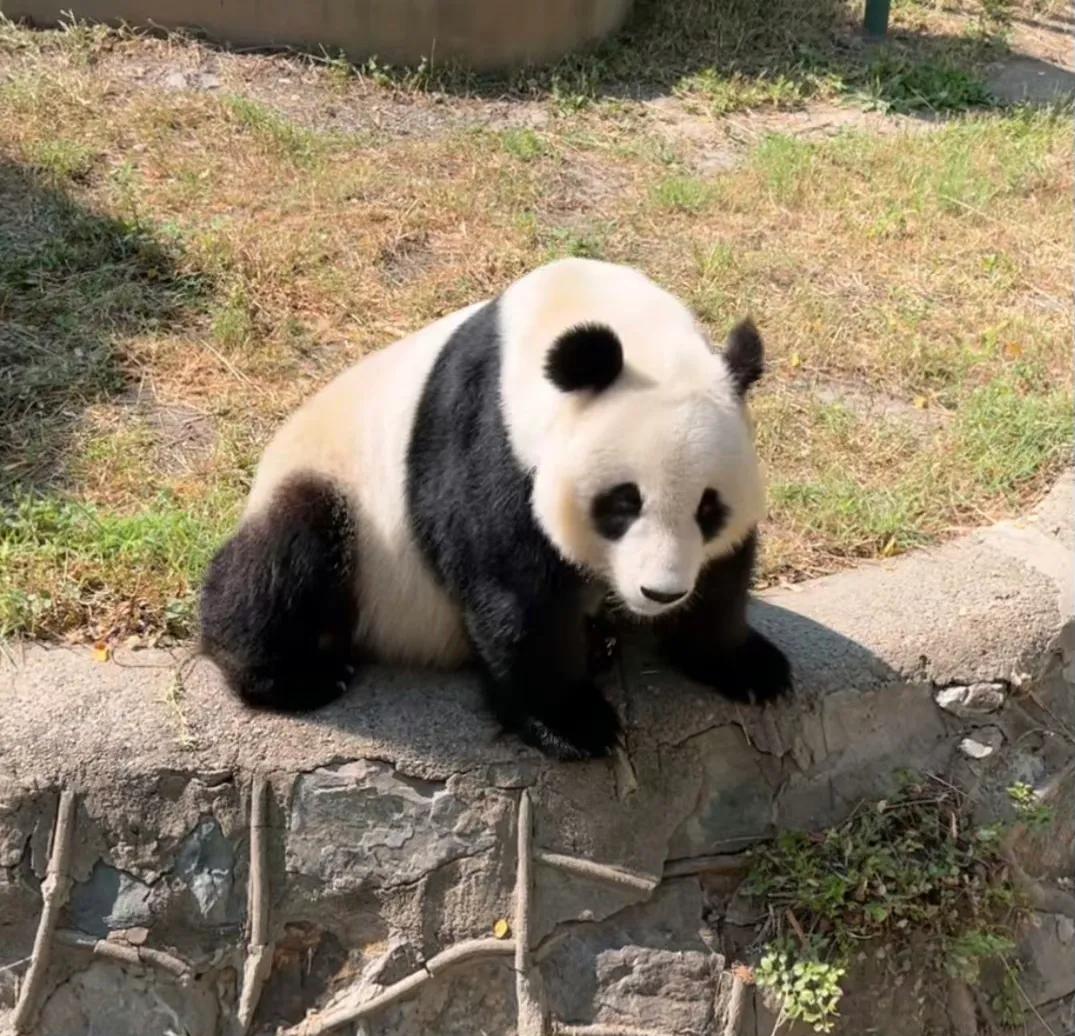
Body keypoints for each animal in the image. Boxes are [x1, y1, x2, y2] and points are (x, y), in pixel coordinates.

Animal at [199, 258, 791, 760]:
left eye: (708, 508)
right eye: (624, 501)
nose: (660, 593)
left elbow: (722, 574)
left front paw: (749, 667)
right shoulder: (491, 440)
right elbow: (515, 592)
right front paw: (574, 724)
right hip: (344, 505)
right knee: (285, 559)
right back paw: (297, 675)